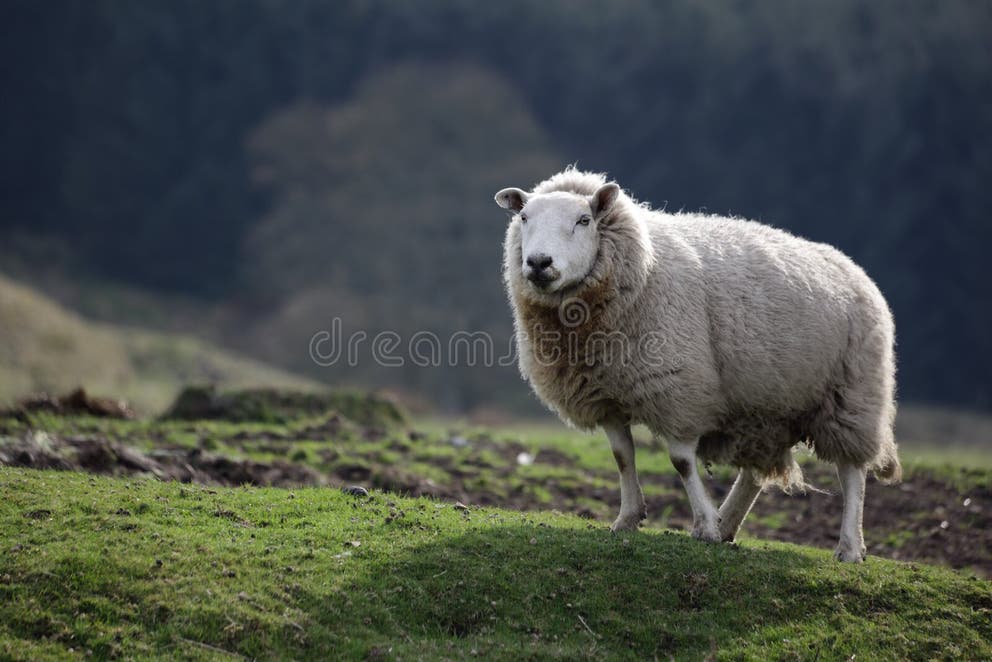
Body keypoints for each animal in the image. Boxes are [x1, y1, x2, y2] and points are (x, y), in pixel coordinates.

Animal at [494, 168, 900, 562]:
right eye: (524, 217)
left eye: (583, 220)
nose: (539, 263)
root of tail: (851, 266)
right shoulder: (606, 394)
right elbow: (623, 457)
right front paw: (628, 518)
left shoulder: (678, 391)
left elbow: (681, 462)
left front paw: (703, 525)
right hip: (769, 406)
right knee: (754, 473)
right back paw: (729, 524)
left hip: (852, 394)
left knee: (852, 472)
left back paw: (849, 546)